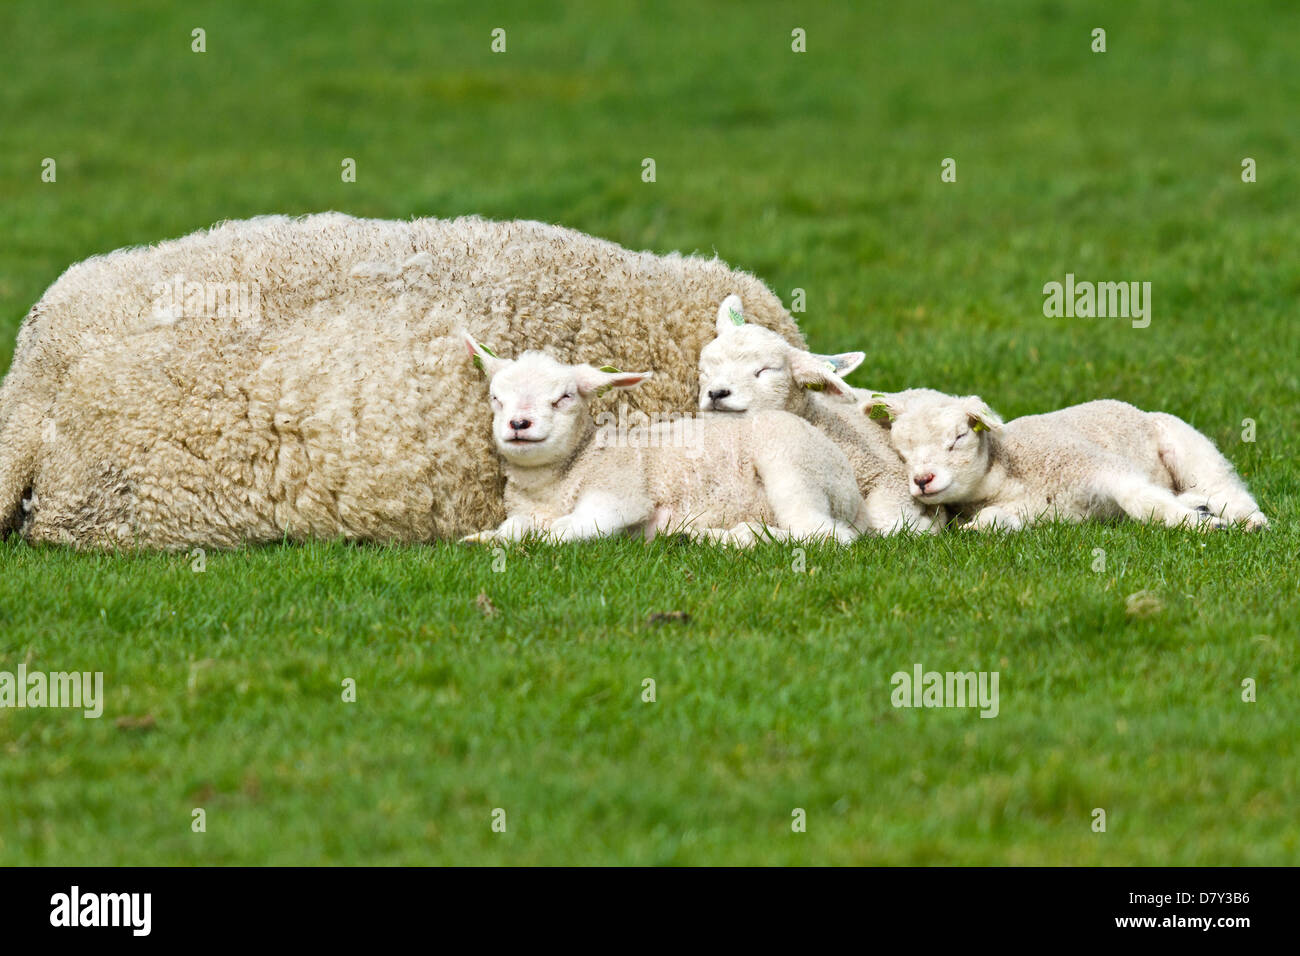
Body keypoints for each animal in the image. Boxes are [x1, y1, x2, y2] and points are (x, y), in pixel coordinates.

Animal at [460, 334, 868, 545]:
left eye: (564, 397)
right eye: (495, 398)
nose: (519, 423)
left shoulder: (620, 493)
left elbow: (566, 529)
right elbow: (516, 527)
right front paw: (484, 539)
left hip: (791, 466)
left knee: (824, 533)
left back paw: (739, 536)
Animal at [696, 295, 940, 534]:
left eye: (765, 370)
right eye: (704, 371)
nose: (716, 393)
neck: (820, 420)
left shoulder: (889, 473)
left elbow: (886, 520)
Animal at [864, 388, 1268, 531]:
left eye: (959, 438)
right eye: (901, 452)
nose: (922, 480)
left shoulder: (1100, 466)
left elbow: (1144, 502)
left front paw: (1202, 526)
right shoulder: (1029, 511)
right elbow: (994, 520)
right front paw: (974, 529)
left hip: (1186, 445)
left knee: (1222, 484)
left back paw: (1248, 520)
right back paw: (1201, 506)